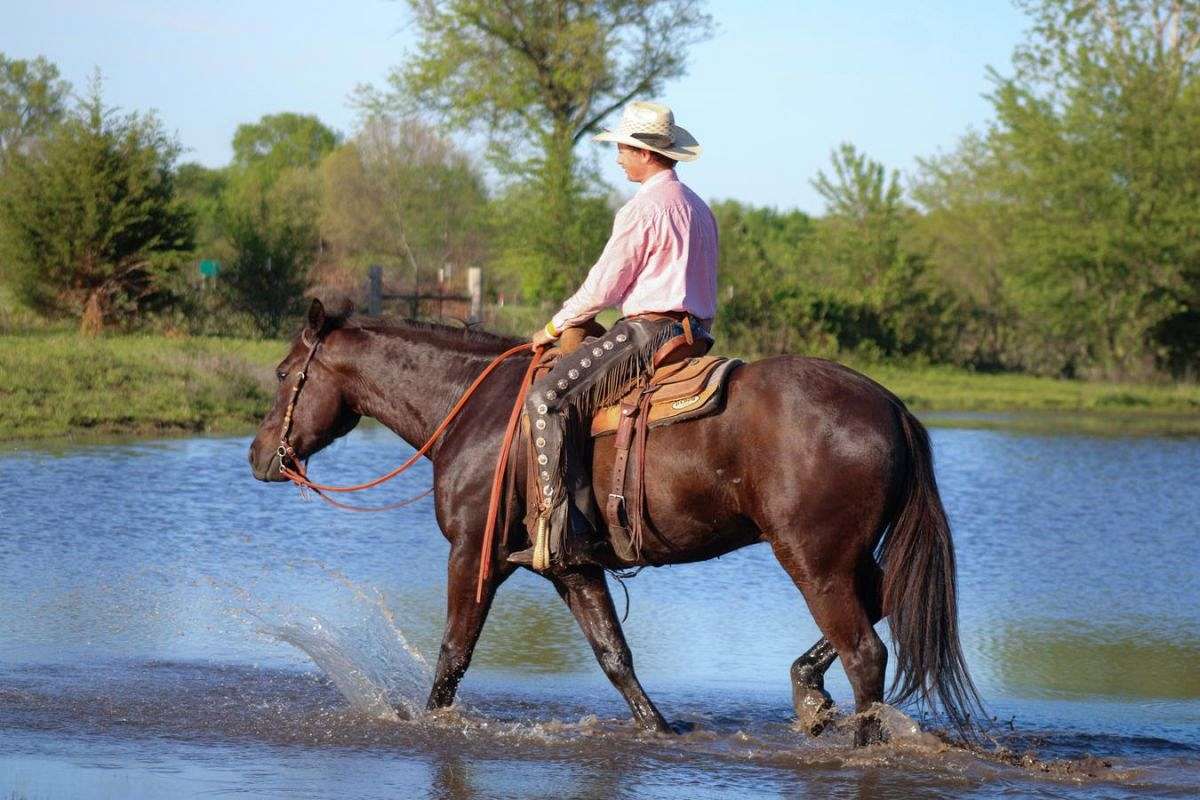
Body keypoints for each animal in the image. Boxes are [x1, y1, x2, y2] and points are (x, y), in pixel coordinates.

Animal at [248, 299, 981, 744]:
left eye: (283, 372)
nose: (258, 455)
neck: (476, 412)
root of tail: (892, 408)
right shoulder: (572, 568)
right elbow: (614, 657)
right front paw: (660, 731)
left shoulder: (473, 553)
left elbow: (454, 652)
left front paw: (429, 724)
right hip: (850, 559)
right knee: (885, 605)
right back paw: (809, 694)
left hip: (814, 558)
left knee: (866, 652)